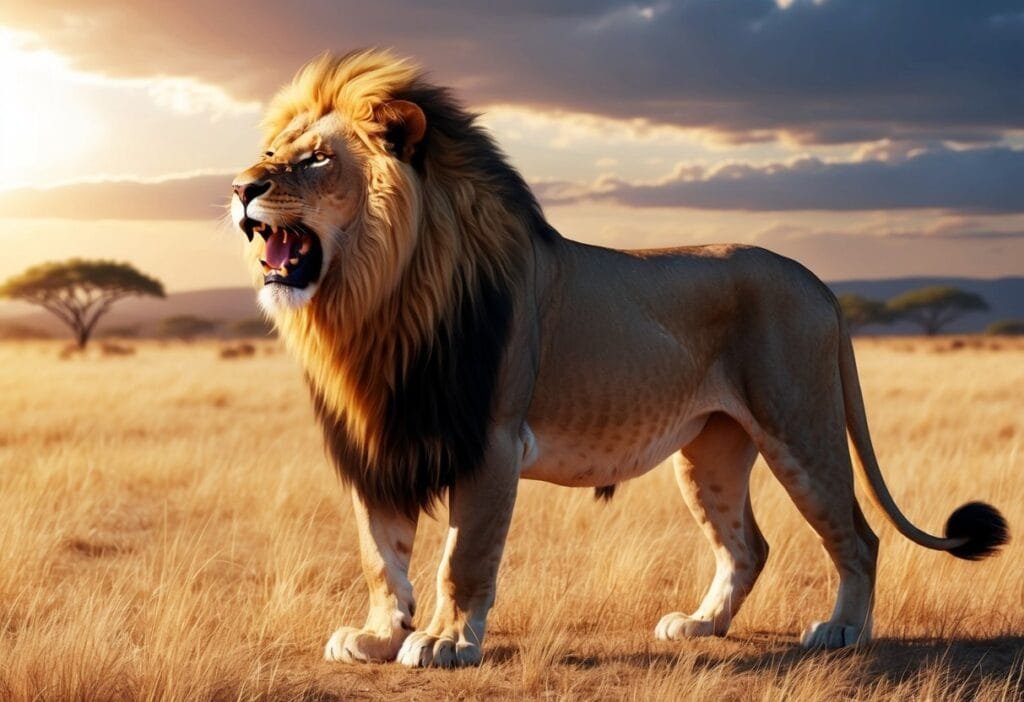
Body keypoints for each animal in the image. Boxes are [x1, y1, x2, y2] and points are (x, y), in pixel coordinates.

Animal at [230, 50, 1008, 667]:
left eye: (317, 158)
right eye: (272, 152)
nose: (240, 188)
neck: (374, 302)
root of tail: (817, 281)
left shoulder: (491, 440)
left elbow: (463, 558)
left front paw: (446, 642)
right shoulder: (379, 438)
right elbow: (379, 555)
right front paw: (377, 637)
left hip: (802, 431)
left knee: (858, 536)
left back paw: (843, 630)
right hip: (709, 454)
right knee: (748, 546)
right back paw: (701, 625)